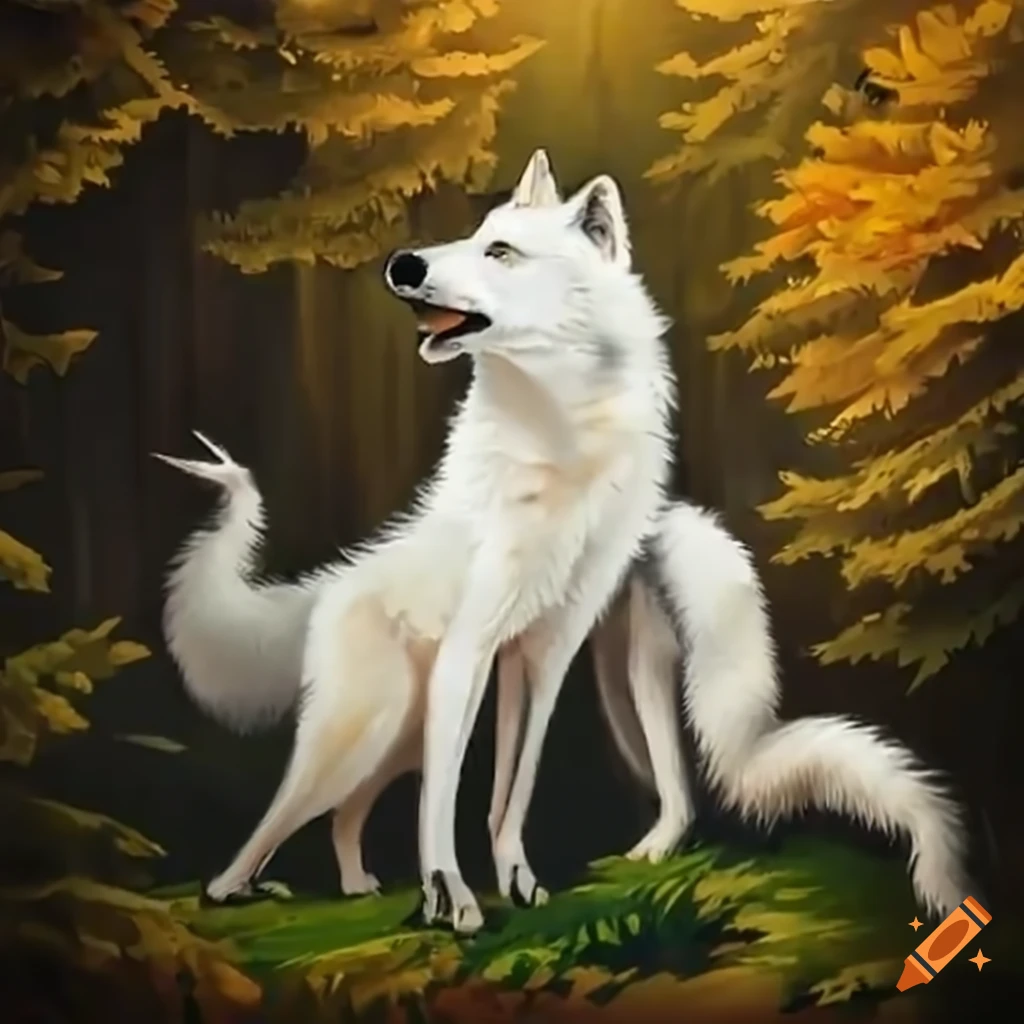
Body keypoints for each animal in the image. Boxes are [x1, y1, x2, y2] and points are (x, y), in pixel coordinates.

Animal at [158, 150, 968, 933]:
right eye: (471, 237)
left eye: (500, 250)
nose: (402, 265)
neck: (559, 443)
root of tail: (337, 580)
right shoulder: (470, 654)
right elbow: (443, 804)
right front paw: (455, 900)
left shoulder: (542, 656)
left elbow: (509, 791)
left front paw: (511, 881)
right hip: (365, 733)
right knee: (285, 816)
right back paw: (233, 888)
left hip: (398, 737)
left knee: (345, 815)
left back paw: (357, 887)